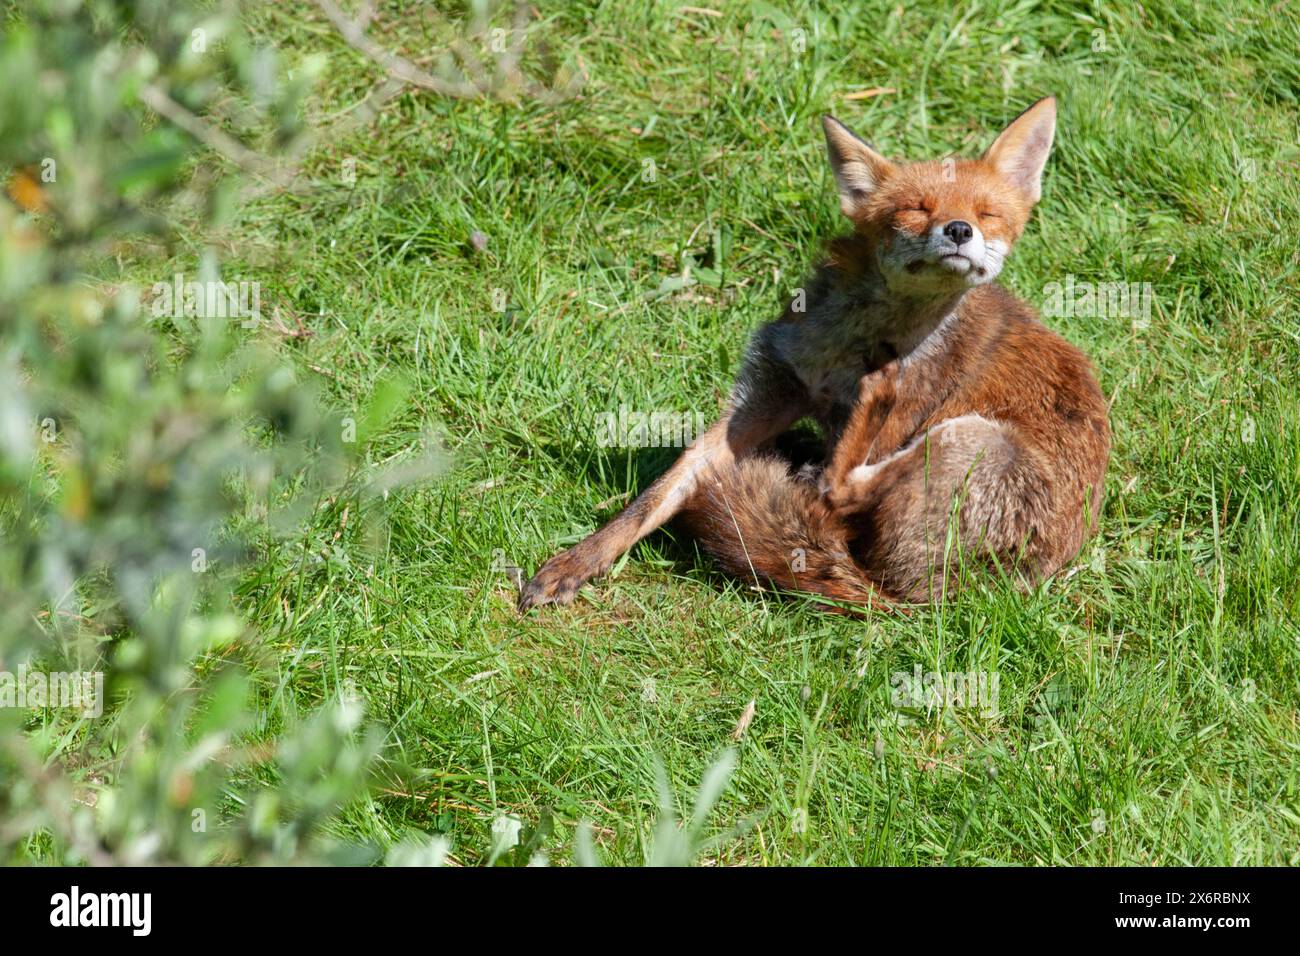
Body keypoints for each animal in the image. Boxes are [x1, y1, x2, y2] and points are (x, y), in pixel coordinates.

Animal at [518, 96, 1110, 612]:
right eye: (917, 208)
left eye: (987, 214)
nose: (960, 230)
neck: (848, 347)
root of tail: (963, 598)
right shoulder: (767, 393)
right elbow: (659, 494)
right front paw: (579, 561)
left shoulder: (899, 423)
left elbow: (826, 487)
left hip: (968, 437)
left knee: (835, 491)